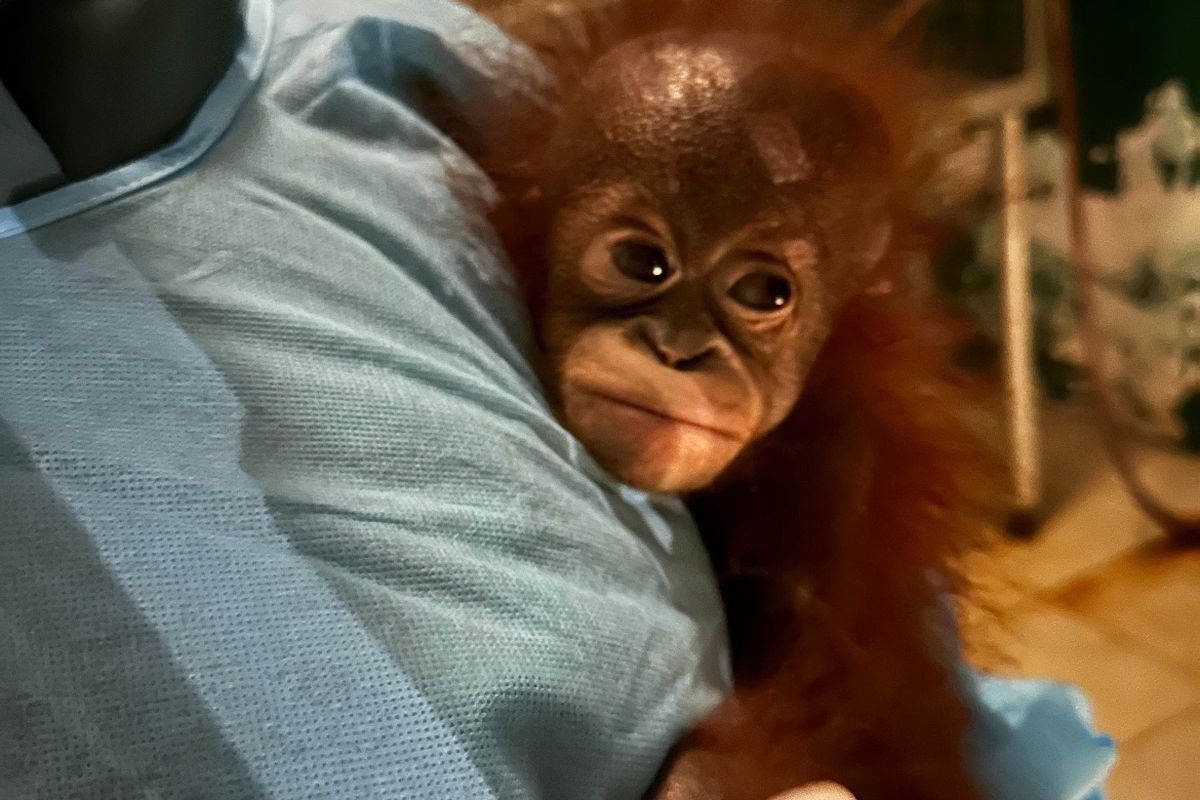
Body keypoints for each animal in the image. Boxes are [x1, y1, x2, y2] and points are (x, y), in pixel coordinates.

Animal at [444, 2, 1003, 798]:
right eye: (638, 261)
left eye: (763, 292)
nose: (679, 350)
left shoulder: (847, 465)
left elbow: (841, 685)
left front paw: (703, 779)